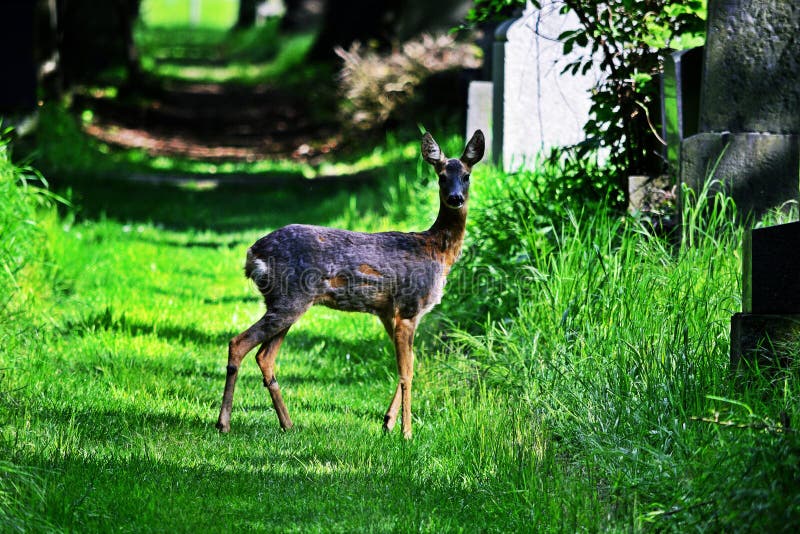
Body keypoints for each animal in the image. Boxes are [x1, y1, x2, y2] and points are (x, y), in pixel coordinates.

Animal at [215, 130, 485, 438]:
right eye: (441, 176)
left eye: (466, 175)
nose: (455, 198)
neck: (436, 251)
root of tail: (253, 255)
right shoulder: (409, 307)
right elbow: (407, 372)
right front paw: (406, 432)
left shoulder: (387, 312)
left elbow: (410, 364)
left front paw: (388, 422)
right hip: (290, 298)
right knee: (238, 343)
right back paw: (224, 423)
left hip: (284, 302)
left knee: (264, 356)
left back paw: (288, 423)